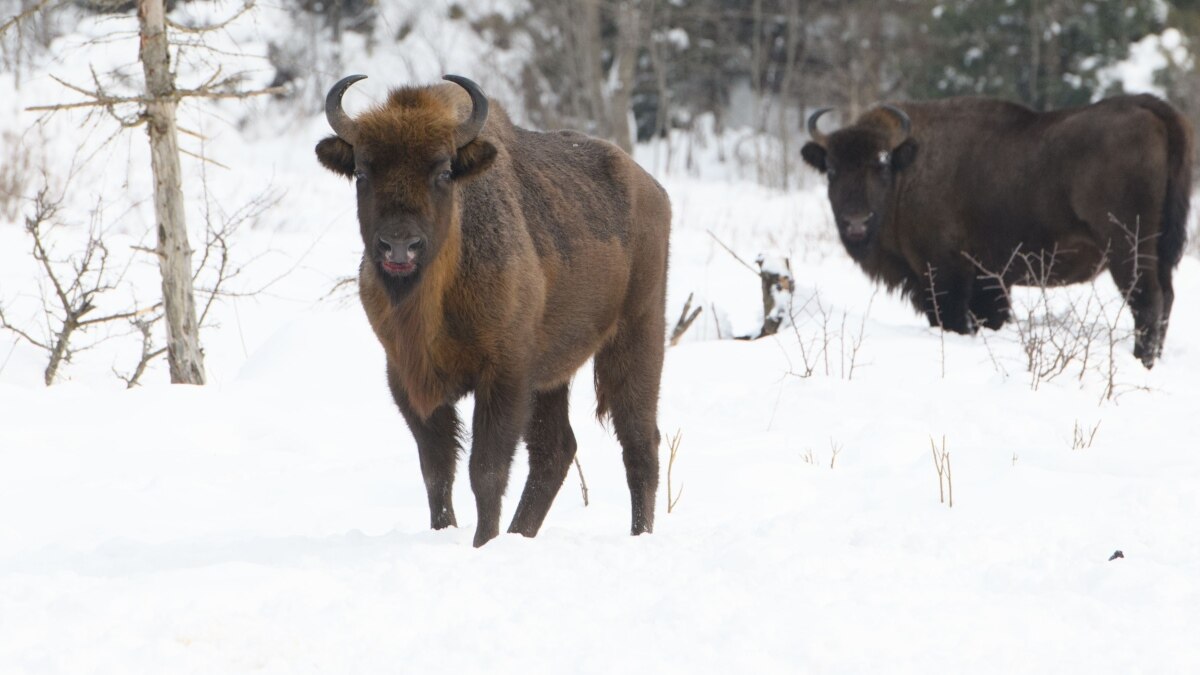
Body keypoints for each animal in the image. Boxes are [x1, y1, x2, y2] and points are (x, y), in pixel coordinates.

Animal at [316, 75, 671, 546]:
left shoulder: (505, 375)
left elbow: (485, 471)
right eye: (361, 172)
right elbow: (437, 470)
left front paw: (482, 543)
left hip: (638, 336)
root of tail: (652, 189)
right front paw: (446, 531)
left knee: (639, 443)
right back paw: (523, 534)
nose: (399, 247)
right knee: (556, 451)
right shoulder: (407, 379)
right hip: (553, 378)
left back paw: (639, 535)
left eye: (444, 172)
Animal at [801, 95, 1192, 368]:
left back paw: (1141, 360)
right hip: (1160, 251)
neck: (908, 170)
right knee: (1167, 297)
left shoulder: (943, 277)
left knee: (1147, 301)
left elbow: (953, 319)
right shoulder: (989, 282)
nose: (855, 222)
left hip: (1126, 250)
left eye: (880, 165)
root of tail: (1151, 109)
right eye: (831, 170)